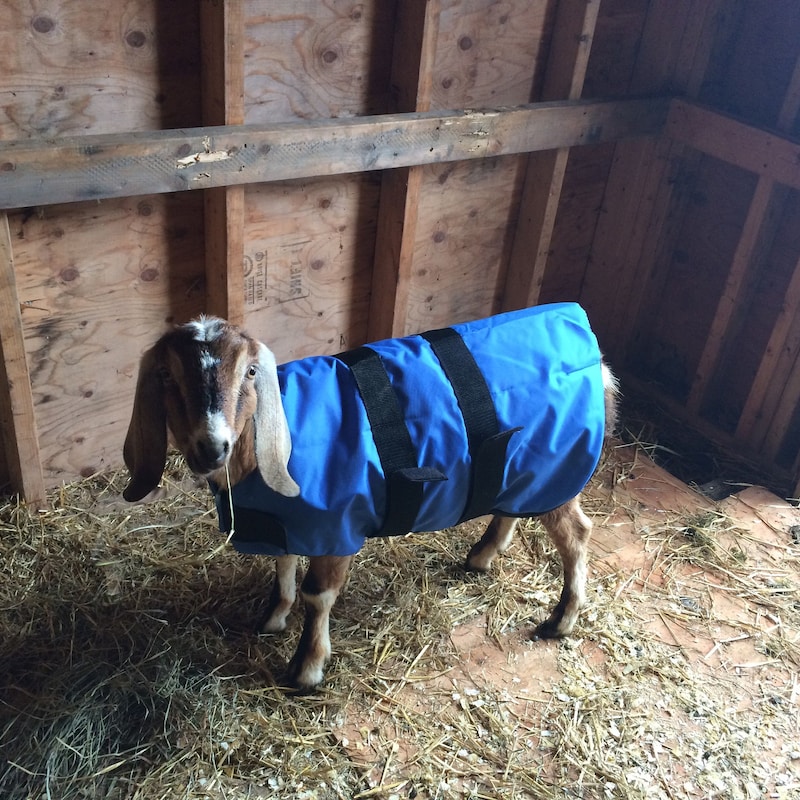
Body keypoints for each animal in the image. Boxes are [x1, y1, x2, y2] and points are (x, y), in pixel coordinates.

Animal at [123, 302, 618, 691]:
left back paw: (561, 619)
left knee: (576, 533)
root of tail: (599, 363)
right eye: (166, 374)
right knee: (513, 505)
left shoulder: (336, 527)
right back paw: (482, 557)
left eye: (249, 371)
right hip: (527, 463)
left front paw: (307, 669)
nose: (212, 447)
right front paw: (273, 618)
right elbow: (282, 568)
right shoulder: (290, 523)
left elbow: (317, 595)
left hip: (559, 462)